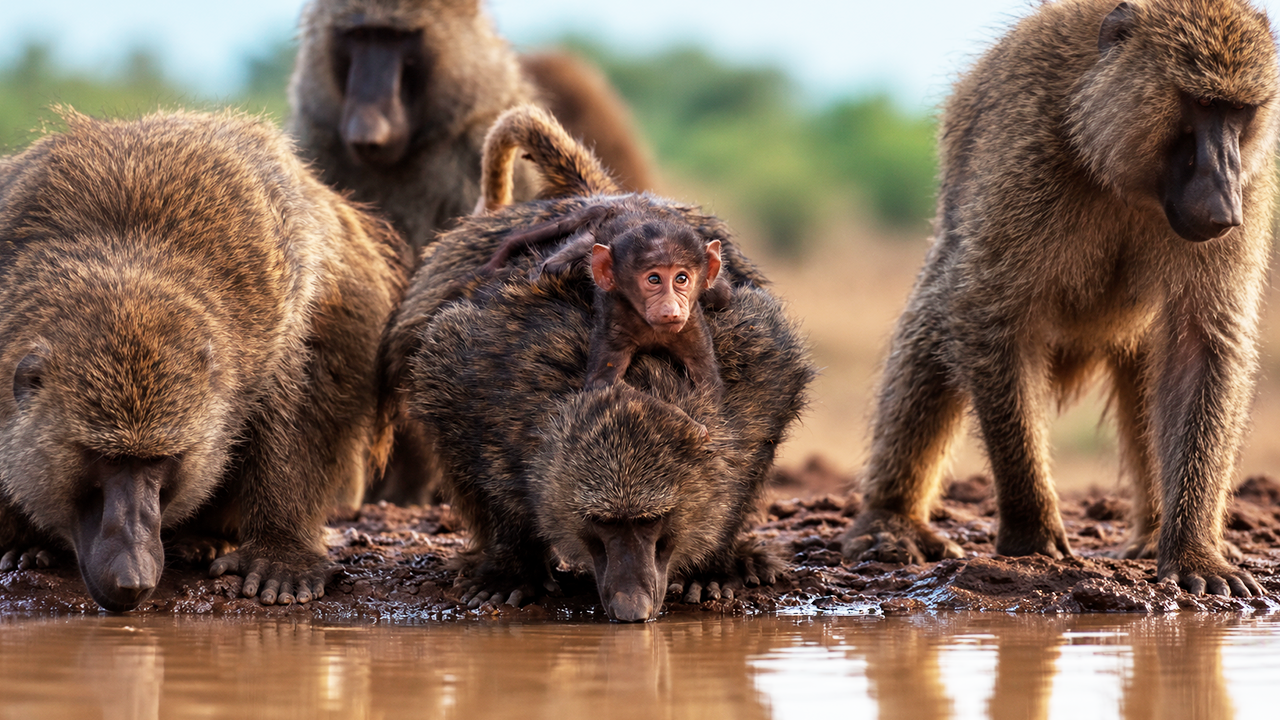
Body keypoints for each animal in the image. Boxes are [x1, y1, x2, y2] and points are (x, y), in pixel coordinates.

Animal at [0, 109, 408, 612]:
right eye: (103, 457)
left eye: (161, 459)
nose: (131, 579)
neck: (124, 261)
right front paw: (22, 541)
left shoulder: (273, 316)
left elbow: (294, 397)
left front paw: (281, 558)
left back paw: (205, 538)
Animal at [839, 0, 1280, 599]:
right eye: (1204, 104)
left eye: (1240, 112)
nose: (1223, 201)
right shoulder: (1026, 154)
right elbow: (987, 312)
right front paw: (1031, 531)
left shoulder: (1253, 185)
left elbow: (1200, 341)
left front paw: (1194, 552)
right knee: (932, 320)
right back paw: (892, 519)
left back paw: (1155, 533)